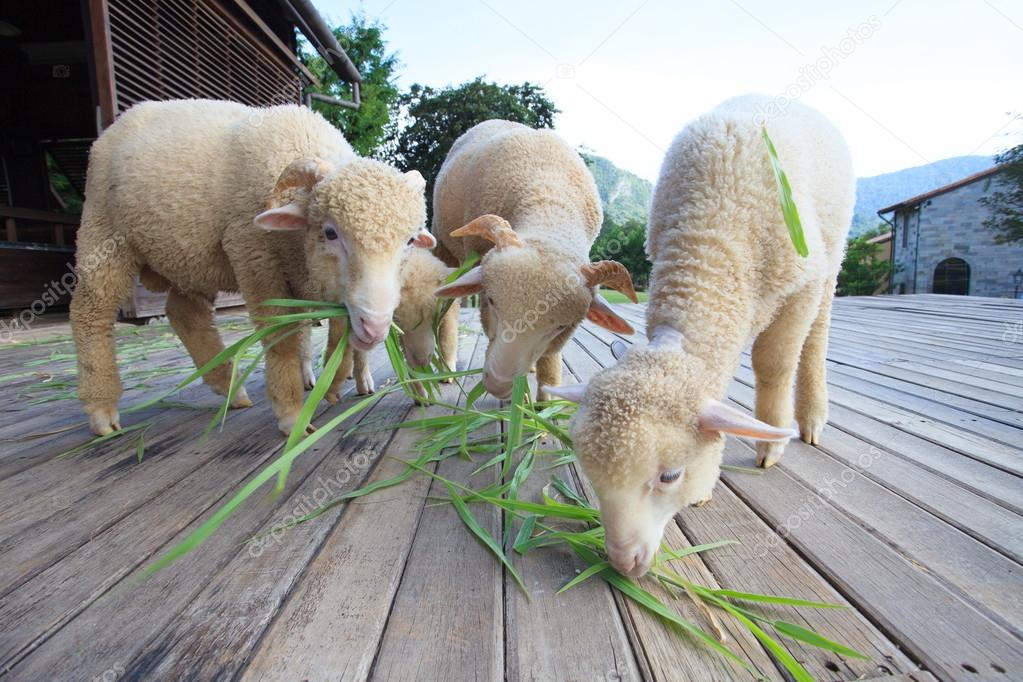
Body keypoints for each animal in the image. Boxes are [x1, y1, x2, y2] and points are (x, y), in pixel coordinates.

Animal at [70, 99, 430, 437]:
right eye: (330, 232)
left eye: (410, 240)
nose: (376, 325)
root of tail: (122, 119)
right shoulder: (255, 258)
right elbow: (281, 338)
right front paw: (292, 415)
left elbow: (336, 333)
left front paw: (343, 379)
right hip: (103, 231)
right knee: (91, 311)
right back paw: (102, 410)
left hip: (189, 259)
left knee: (184, 312)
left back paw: (229, 387)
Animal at [322, 245, 458, 402]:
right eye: (397, 320)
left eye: (435, 315)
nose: (421, 361)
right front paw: (421, 392)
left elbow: (447, 337)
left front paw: (448, 371)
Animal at [432, 120, 638, 401]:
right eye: (491, 301)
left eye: (561, 326)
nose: (498, 384)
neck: (547, 201)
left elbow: (551, 358)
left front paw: (544, 401)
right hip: (445, 246)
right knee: (447, 311)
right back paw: (447, 365)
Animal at [547, 95, 855, 577]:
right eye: (588, 470)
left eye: (670, 475)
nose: (623, 563)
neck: (710, 236)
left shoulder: (799, 282)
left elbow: (774, 363)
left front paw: (772, 442)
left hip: (829, 256)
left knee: (817, 336)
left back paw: (810, 417)